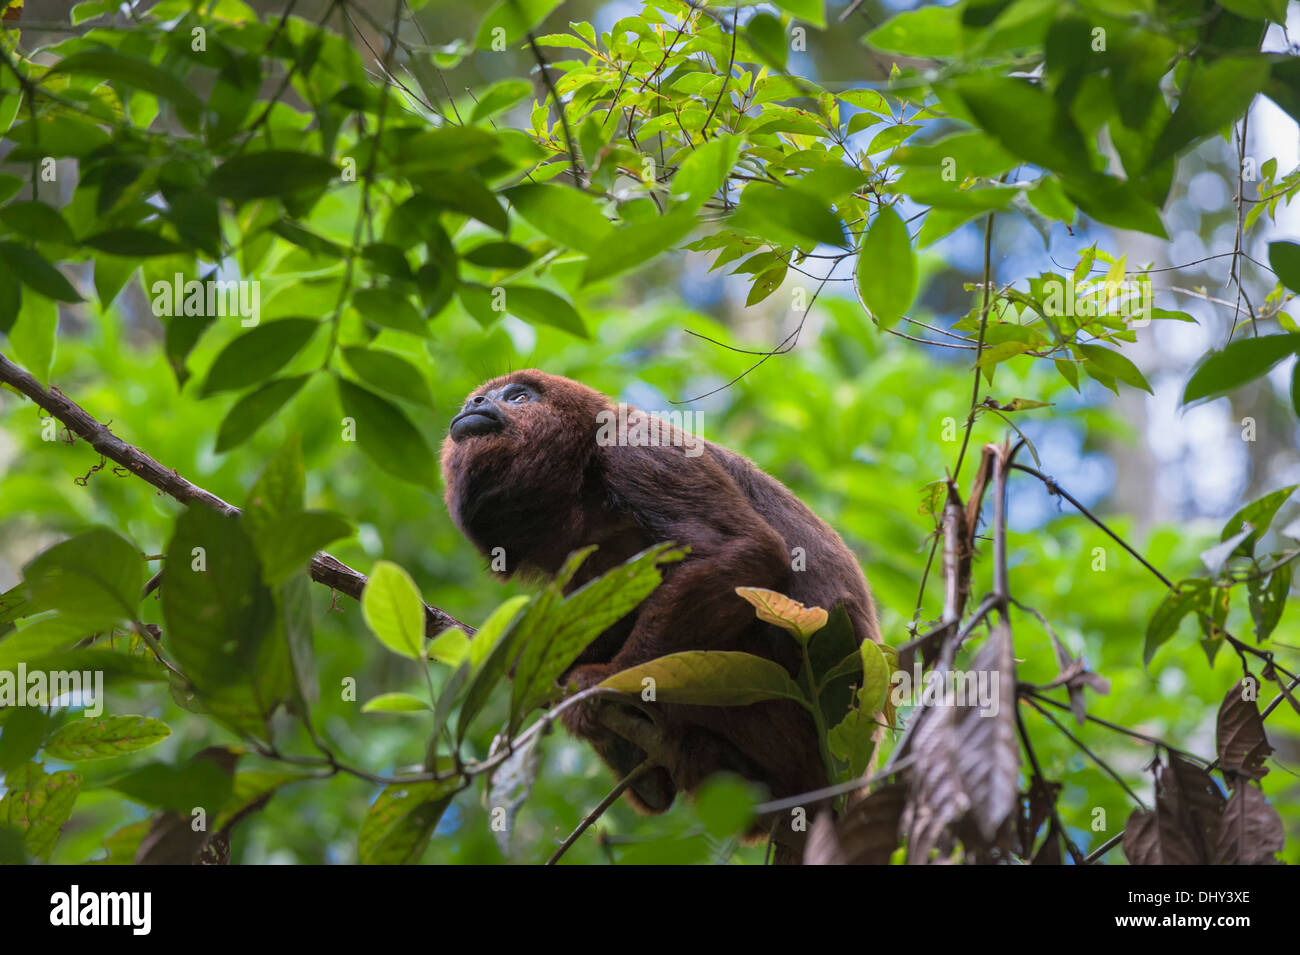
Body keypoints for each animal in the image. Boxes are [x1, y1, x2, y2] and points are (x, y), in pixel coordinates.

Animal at [440, 370, 880, 840]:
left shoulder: (638, 449)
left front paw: (606, 683)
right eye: (476, 397)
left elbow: (743, 553)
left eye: (518, 397)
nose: (474, 403)